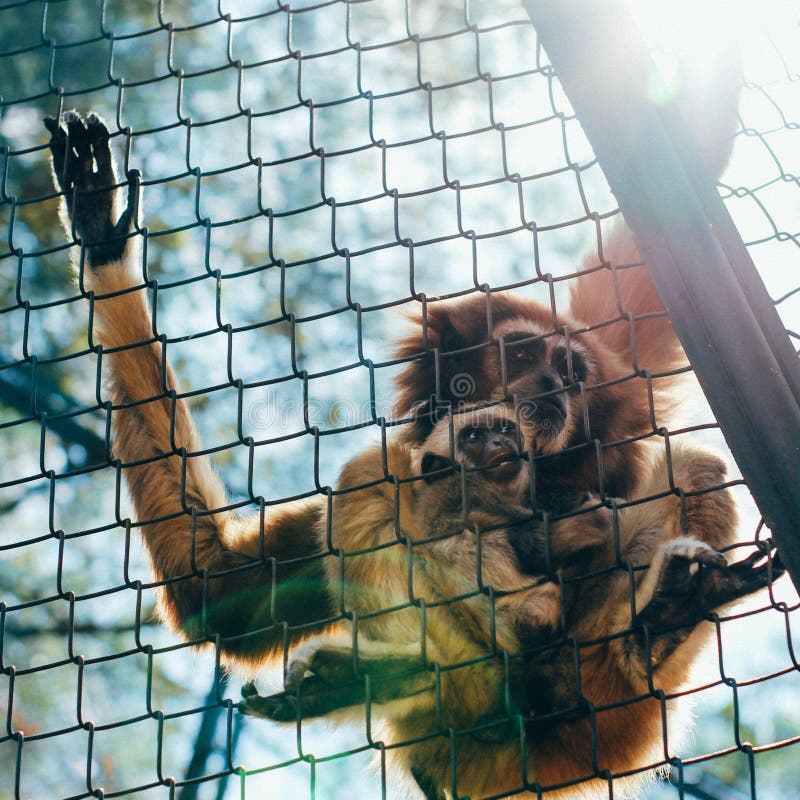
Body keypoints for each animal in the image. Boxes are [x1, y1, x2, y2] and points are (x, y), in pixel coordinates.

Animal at [44, 107, 783, 800]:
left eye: (572, 372)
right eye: (522, 355)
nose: (552, 387)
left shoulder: (616, 387)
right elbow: (216, 595)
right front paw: (103, 241)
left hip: (611, 718)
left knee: (692, 472)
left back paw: (654, 625)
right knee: (379, 480)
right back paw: (394, 671)